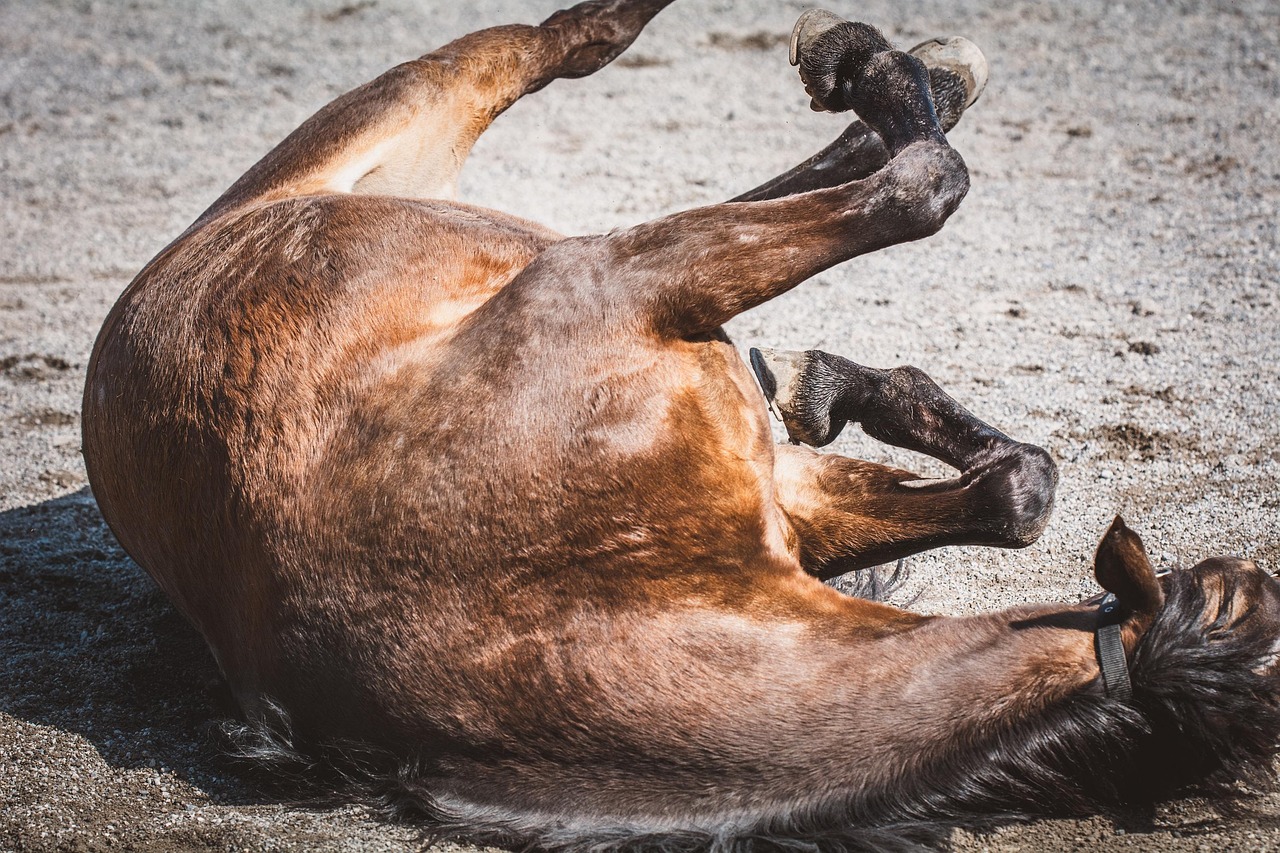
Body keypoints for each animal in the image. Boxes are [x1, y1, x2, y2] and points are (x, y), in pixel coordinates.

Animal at [81, 1, 1280, 848]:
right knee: (569, 44)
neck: (540, 589)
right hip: (427, 114)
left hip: (454, 182)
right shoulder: (616, 282)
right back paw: (865, 65)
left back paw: (910, 92)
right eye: (1251, 597)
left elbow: (1017, 486)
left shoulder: (776, 495)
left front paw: (833, 383)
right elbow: (928, 190)